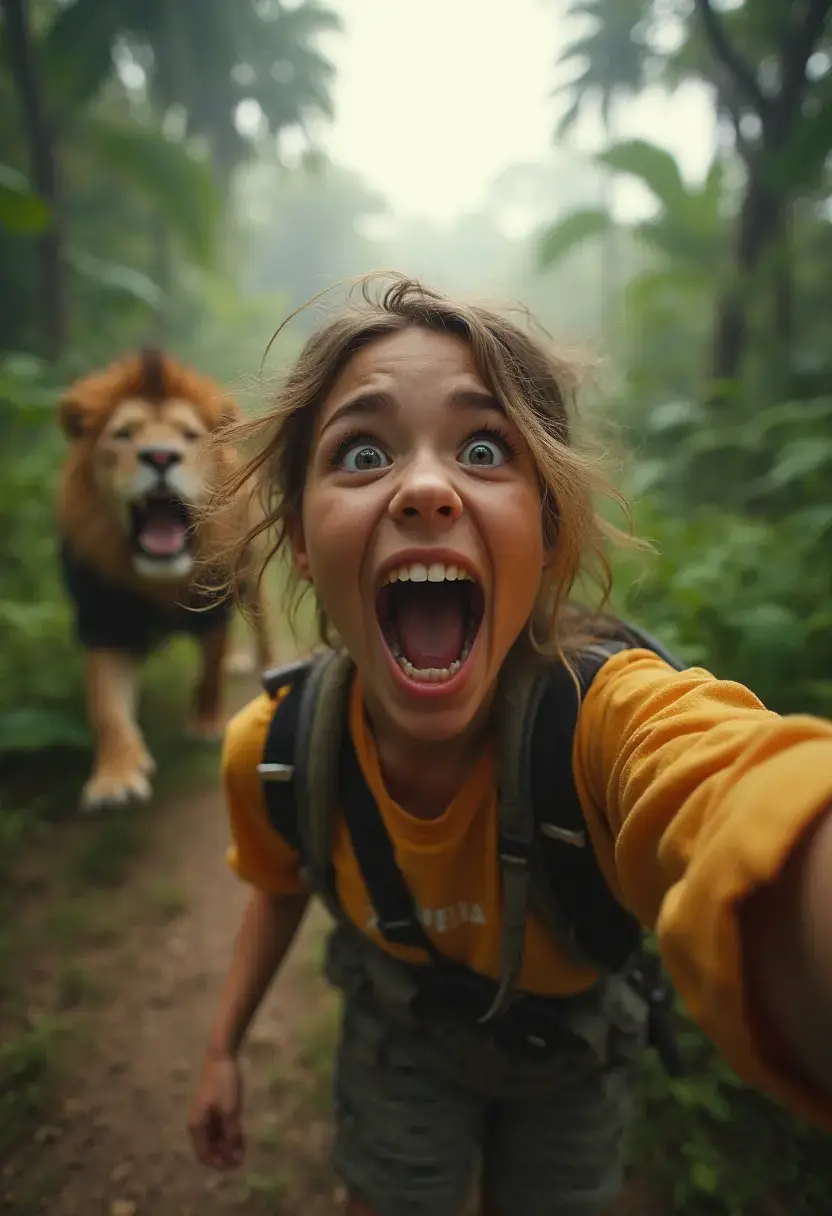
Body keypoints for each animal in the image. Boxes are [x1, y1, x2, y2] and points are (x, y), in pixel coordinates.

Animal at [58, 347, 272, 812]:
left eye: (189, 436)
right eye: (123, 434)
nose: (159, 457)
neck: (158, 578)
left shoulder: (215, 608)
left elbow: (210, 669)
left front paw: (206, 723)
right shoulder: (104, 622)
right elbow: (105, 705)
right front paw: (115, 776)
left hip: (251, 575)